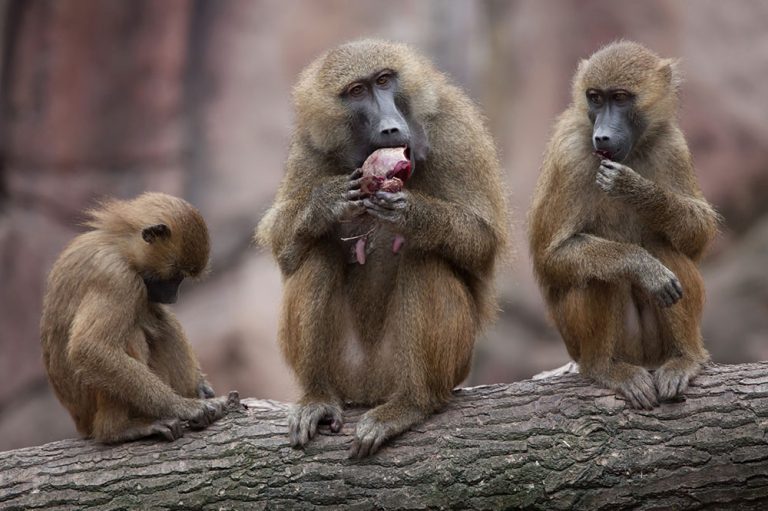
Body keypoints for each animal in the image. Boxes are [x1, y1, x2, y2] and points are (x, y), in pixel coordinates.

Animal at [41, 192, 239, 443]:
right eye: (176, 276)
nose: (173, 296)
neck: (118, 245)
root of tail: (80, 424)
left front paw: (201, 387)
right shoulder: (117, 277)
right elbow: (88, 348)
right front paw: (183, 407)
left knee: (160, 321)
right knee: (131, 333)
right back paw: (116, 430)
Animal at [257, 39, 508, 457]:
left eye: (385, 81)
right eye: (358, 91)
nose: (391, 127)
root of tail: (371, 387)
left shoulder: (455, 128)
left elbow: (484, 241)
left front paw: (412, 215)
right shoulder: (311, 146)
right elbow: (284, 248)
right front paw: (324, 203)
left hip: (433, 365)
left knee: (426, 256)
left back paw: (411, 405)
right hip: (346, 368)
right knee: (318, 252)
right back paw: (317, 398)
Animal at [529, 41, 719, 409]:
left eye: (620, 98)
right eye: (595, 98)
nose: (602, 137)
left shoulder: (671, 144)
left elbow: (699, 238)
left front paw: (638, 191)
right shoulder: (570, 152)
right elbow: (552, 257)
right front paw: (644, 267)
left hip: (653, 349)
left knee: (662, 243)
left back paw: (686, 359)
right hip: (596, 343)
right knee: (600, 273)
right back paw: (607, 369)